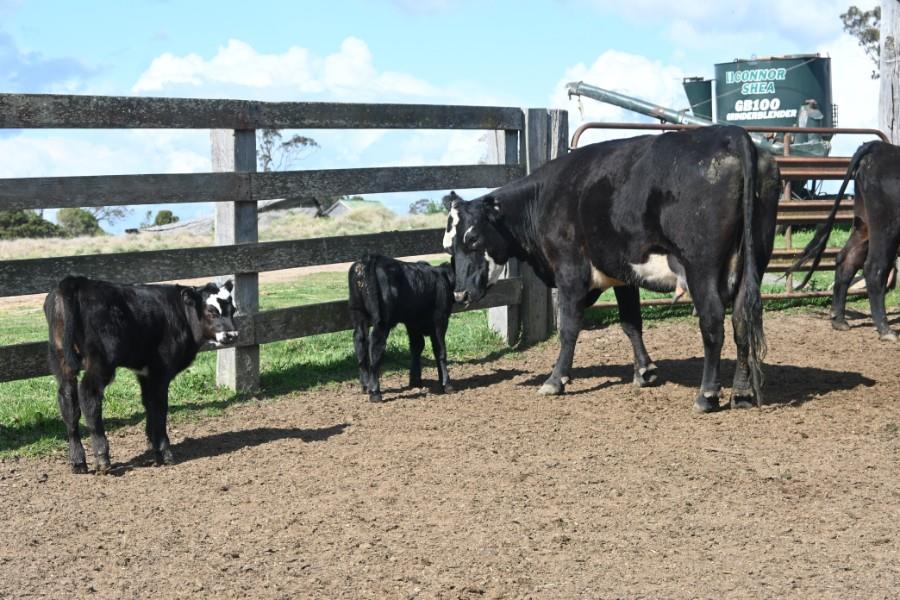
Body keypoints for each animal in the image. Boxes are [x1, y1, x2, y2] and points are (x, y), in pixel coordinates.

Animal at [44, 276, 239, 473]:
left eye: (233, 310)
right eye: (211, 312)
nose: (232, 335)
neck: (181, 314)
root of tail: (76, 281)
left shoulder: (146, 373)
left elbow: (149, 405)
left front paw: (152, 444)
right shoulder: (161, 372)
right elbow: (160, 408)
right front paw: (164, 452)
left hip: (61, 361)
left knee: (68, 403)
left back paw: (78, 461)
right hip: (100, 363)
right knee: (88, 396)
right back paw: (102, 457)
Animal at [348, 253, 455, 403]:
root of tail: (370, 258)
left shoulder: (412, 324)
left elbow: (416, 347)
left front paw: (415, 381)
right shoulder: (440, 319)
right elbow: (440, 350)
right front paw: (446, 384)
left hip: (358, 313)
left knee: (360, 342)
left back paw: (365, 386)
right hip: (382, 320)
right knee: (375, 346)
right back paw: (375, 392)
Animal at [444, 125, 780, 412]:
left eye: (472, 238)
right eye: (448, 245)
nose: (459, 295)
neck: (544, 197)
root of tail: (729, 134)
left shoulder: (570, 272)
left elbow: (569, 327)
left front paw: (555, 379)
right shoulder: (623, 275)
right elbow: (631, 322)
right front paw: (645, 371)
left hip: (701, 268)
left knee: (712, 322)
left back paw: (707, 395)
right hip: (754, 260)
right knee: (741, 320)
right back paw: (742, 392)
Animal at [789, 140, 900, 340]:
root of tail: (877, 146)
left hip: (863, 225)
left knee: (847, 260)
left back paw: (839, 320)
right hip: (887, 229)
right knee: (875, 268)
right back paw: (885, 330)